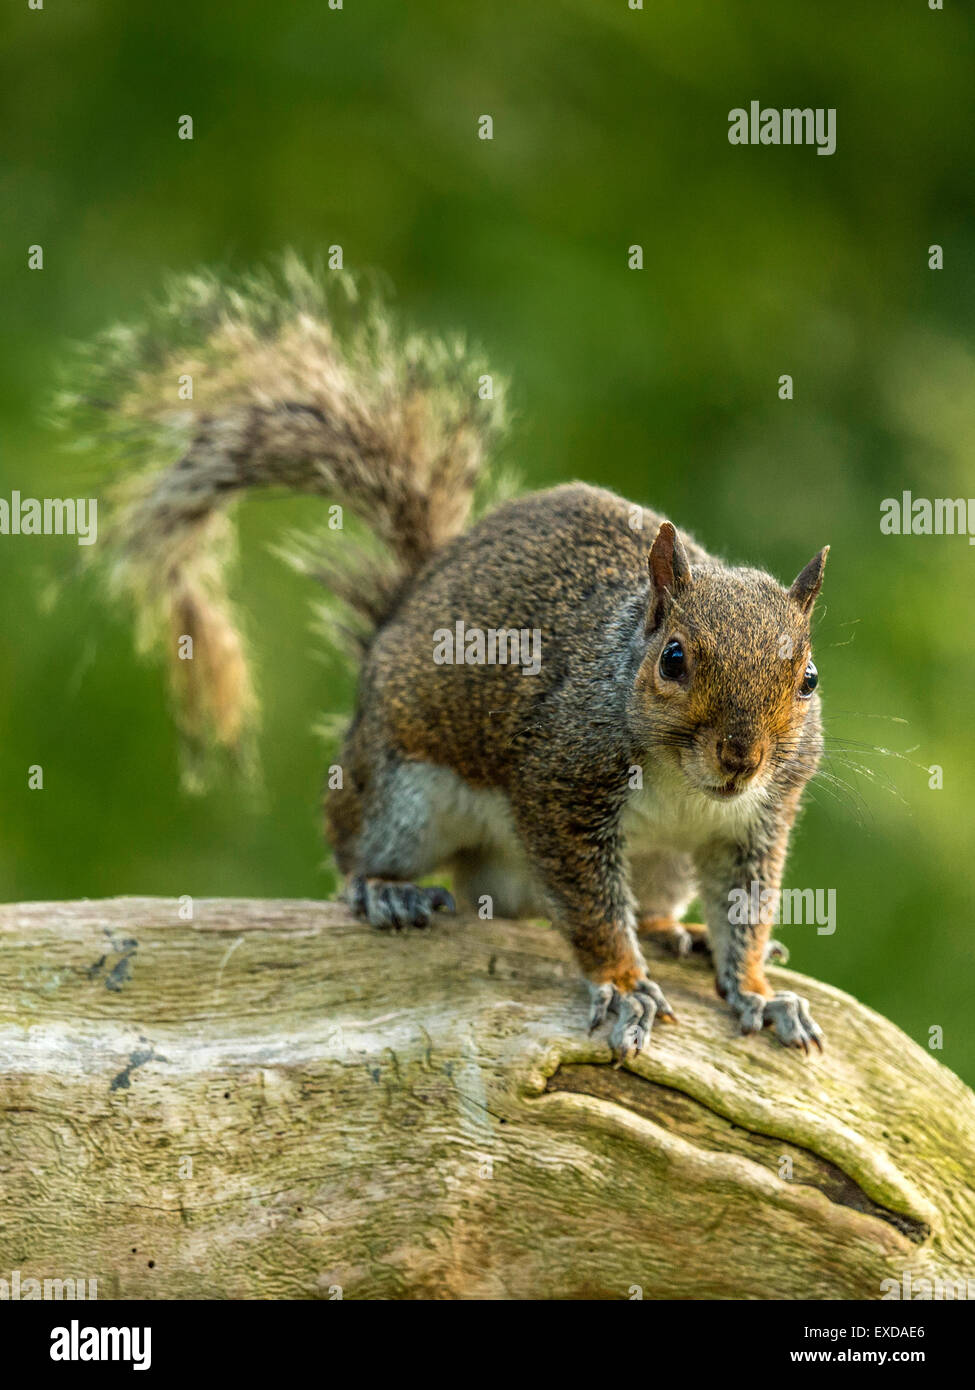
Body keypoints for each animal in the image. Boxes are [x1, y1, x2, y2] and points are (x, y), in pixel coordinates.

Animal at [62, 255, 829, 1061]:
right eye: (673, 661)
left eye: (808, 679)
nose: (741, 758)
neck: (686, 781)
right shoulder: (561, 781)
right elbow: (588, 907)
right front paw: (622, 985)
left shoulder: (761, 817)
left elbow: (745, 913)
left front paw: (759, 991)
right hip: (401, 793)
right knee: (355, 851)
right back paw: (384, 889)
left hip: (663, 865)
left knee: (642, 902)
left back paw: (676, 934)